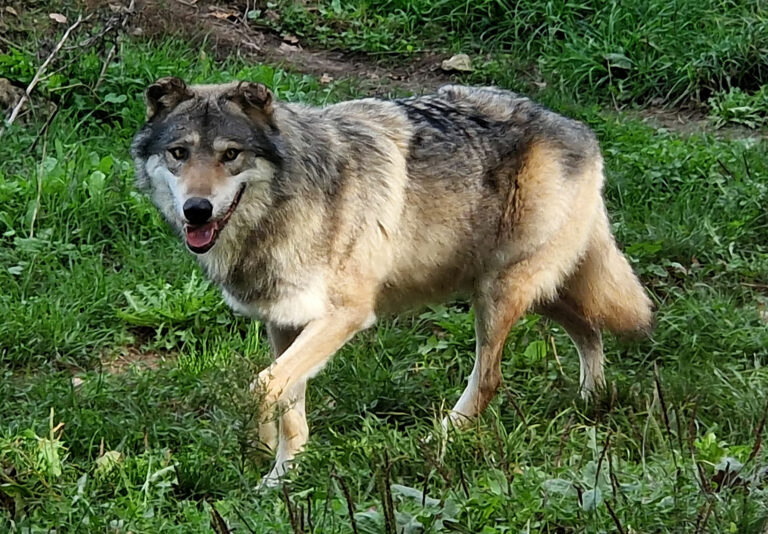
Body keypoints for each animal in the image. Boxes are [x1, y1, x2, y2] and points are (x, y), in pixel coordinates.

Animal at [131, 77, 653, 484]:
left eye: (230, 155)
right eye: (179, 153)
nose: (196, 210)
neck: (287, 203)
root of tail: (578, 129)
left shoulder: (345, 316)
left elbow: (264, 386)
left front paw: (261, 450)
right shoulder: (283, 321)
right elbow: (287, 402)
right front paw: (282, 478)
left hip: (498, 295)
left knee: (490, 378)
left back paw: (438, 439)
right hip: (519, 289)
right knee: (587, 326)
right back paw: (590, 399)